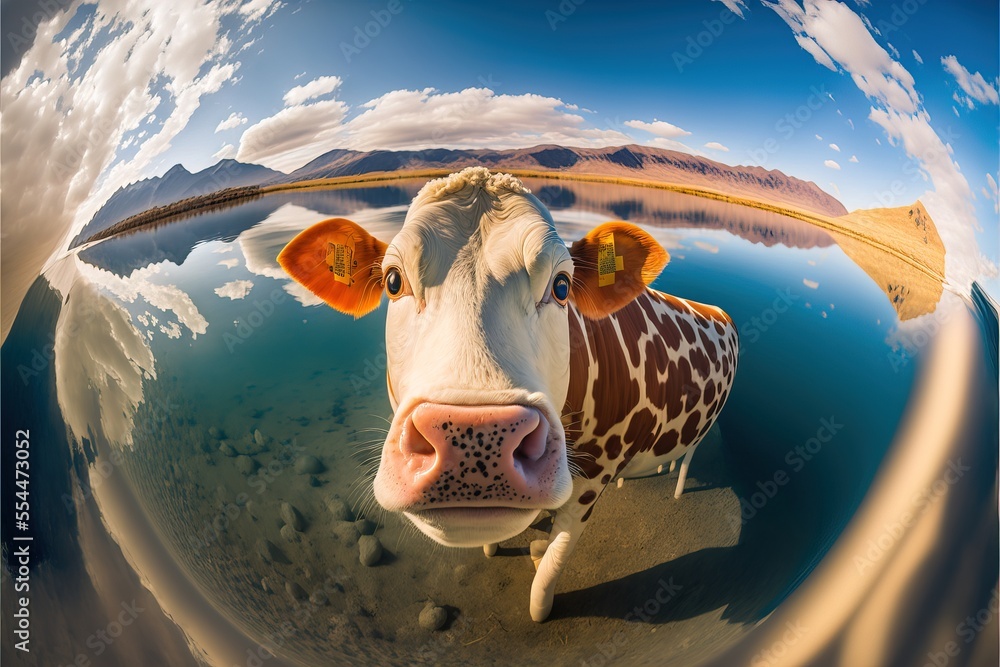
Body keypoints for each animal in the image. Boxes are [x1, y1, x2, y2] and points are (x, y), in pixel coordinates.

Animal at [278, 167, 738, 622]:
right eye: (393, 281)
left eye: (561, 286)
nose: (474, 440)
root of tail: (716, 310)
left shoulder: (592, 482)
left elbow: (552, 565)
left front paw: (541, 599)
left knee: (689, 457)